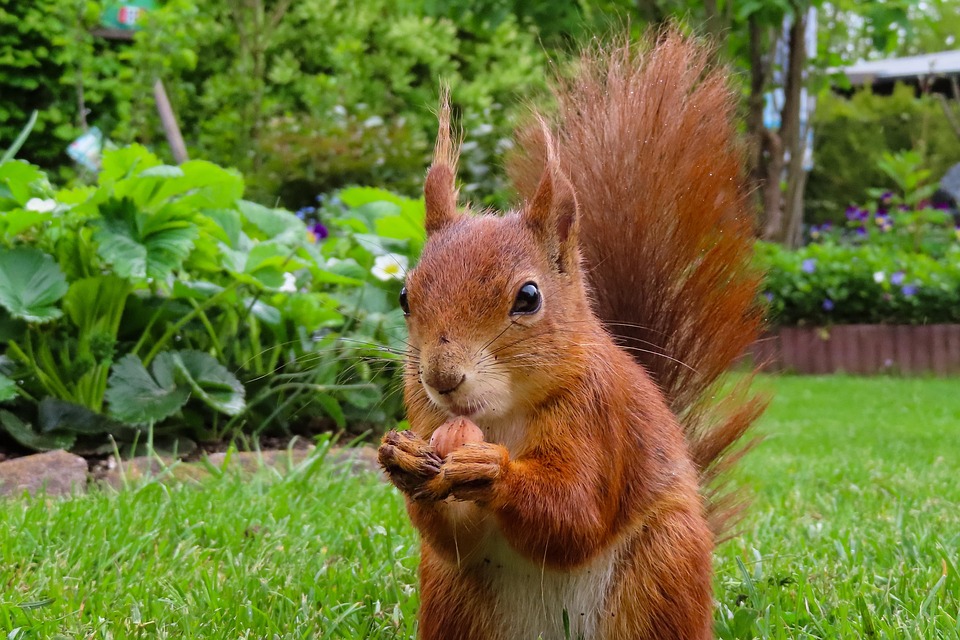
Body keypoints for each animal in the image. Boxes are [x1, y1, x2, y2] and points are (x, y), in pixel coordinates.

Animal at [378, 29, 766, 640]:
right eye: (403, 296)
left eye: (528, 298)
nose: (442, 378)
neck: (501, 418)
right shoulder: (428, 418)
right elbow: (455, 537)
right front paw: (401, 457)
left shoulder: (598, 416)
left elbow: (575, 515)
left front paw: (490, 470)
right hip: (450, 596)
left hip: (666, 562)